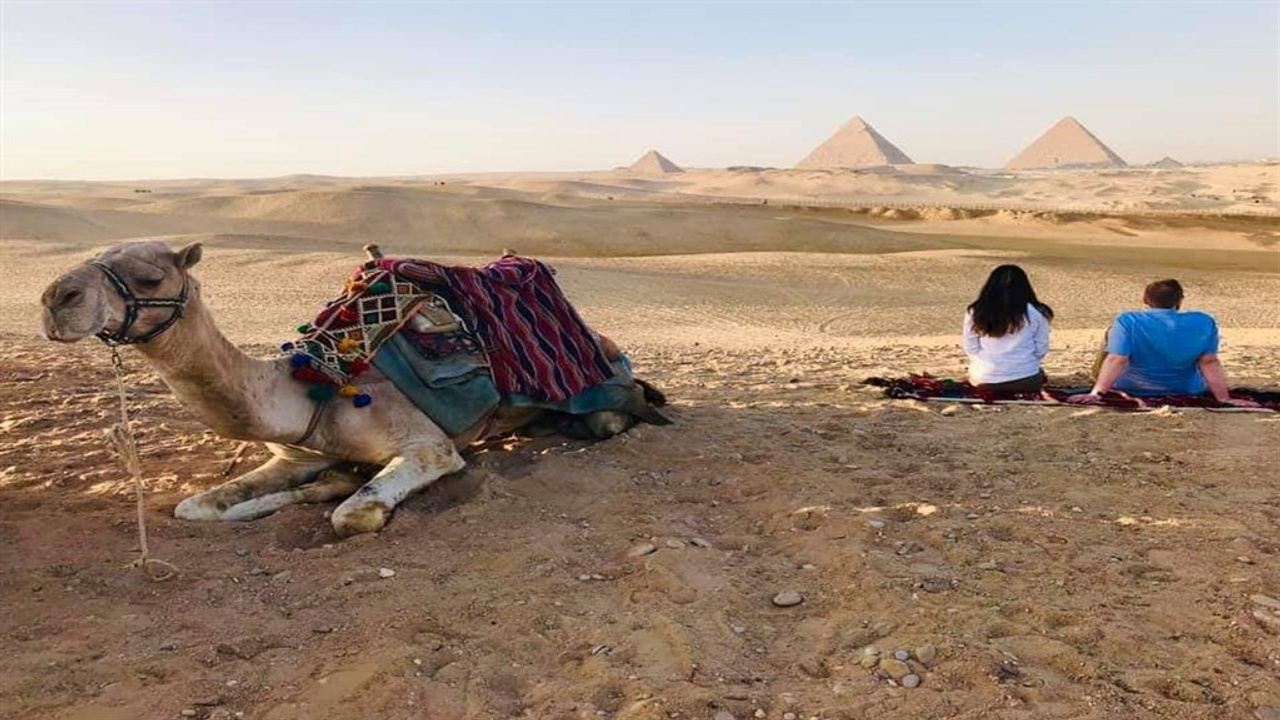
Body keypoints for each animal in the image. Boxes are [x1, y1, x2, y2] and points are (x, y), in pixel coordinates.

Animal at [41, 240, 665, 532]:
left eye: (150, 277)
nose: (54, 298)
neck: (311, 388)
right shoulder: (292, 454)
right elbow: (193, 508)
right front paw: (326, 481)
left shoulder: (429, 447)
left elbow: (352, 514)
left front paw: (339, 488)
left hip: (602, 385)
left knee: (611, 414)